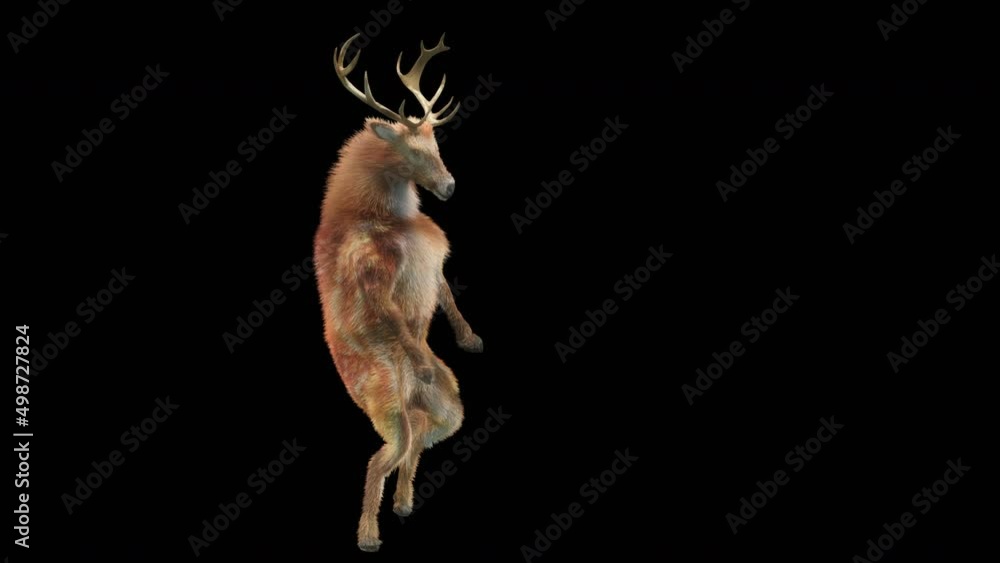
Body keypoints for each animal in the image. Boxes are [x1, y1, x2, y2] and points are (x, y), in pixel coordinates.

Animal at [313, 33, 483, 552]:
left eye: (437, 144)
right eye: (412, 151)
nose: (449, 186)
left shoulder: (435, 267)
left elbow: (447, 294)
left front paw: (471, 340)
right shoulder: (375, 276)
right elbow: (390, 310)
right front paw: (424, 359)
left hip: (449, 410)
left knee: (421, 435)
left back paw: (405, 502)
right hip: (387, 406)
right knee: (379, 458)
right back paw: (369, 533)